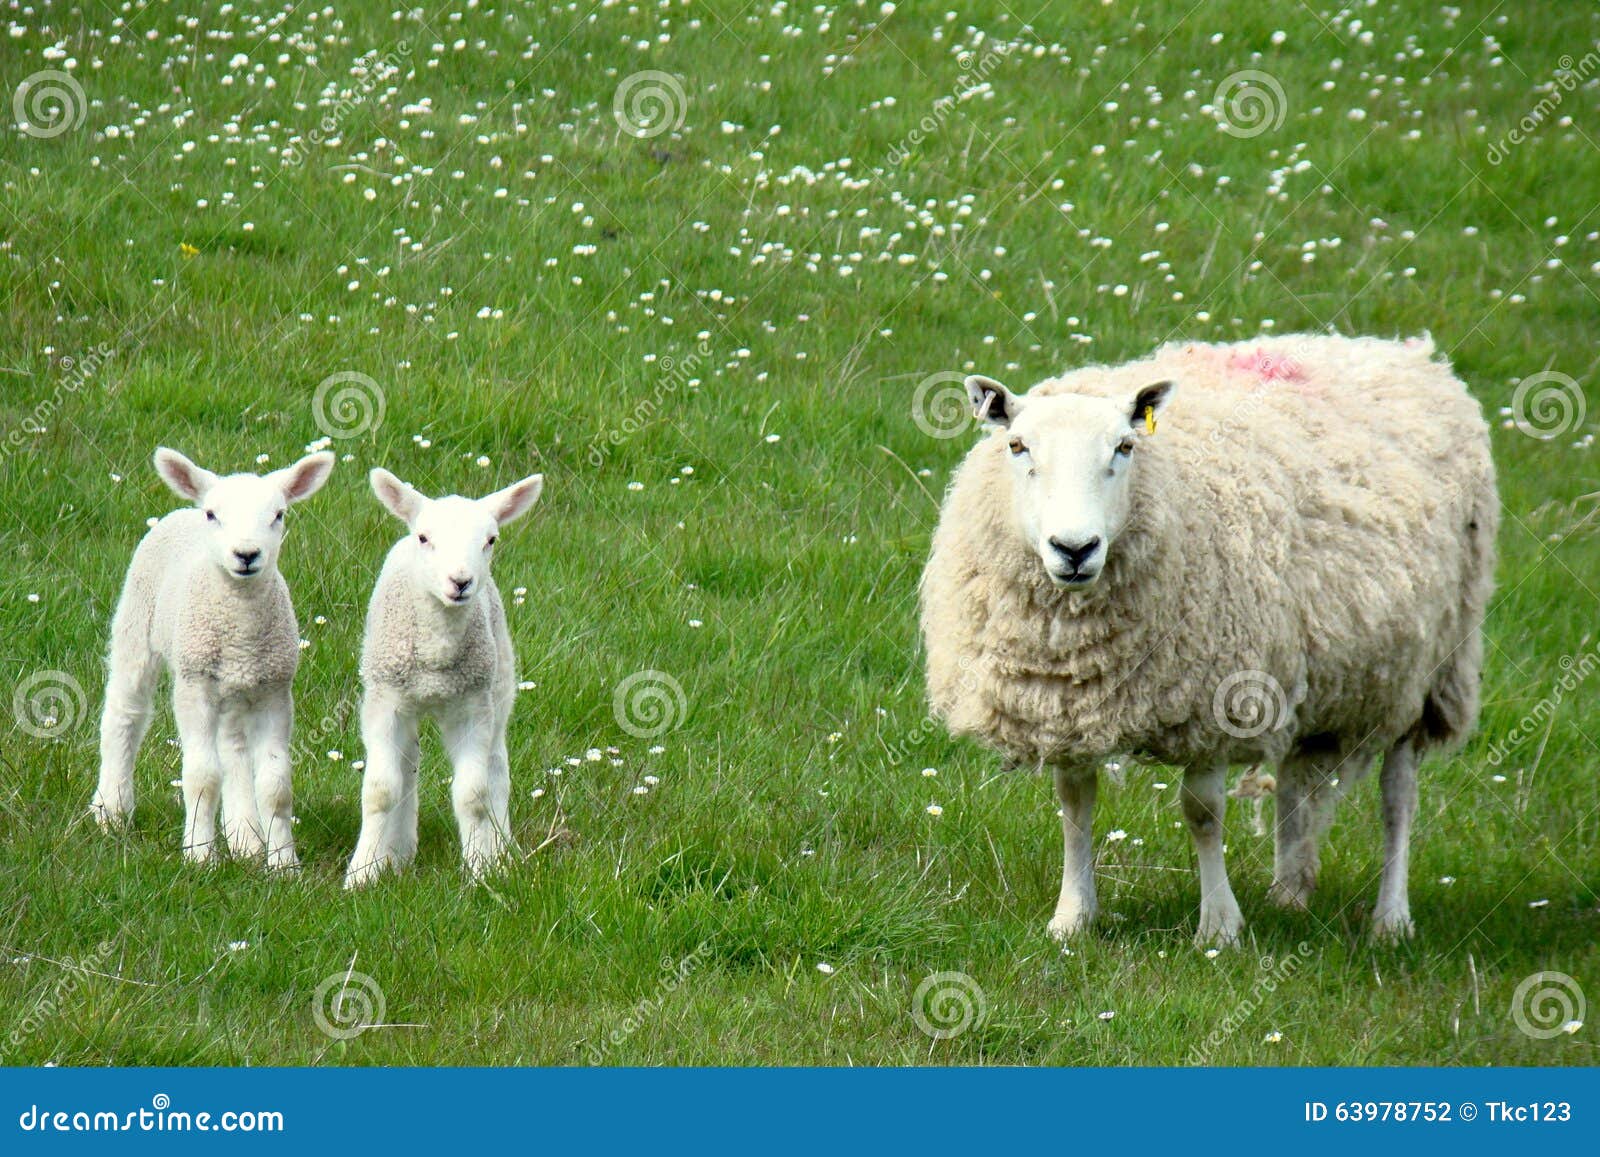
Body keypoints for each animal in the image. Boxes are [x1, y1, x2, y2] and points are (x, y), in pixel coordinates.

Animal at [90, 448, 336, 867]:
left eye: (278, 514)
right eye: (214, 515)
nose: (247, 554)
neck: (241, 628)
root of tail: (183, 509)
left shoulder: (274, 691)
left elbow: (275, 786)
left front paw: (283, 865)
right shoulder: (195, 687)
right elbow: (202, 777)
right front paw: (200, 856)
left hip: (236, 687)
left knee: (233, 747)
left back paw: (245, 840)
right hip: (136, 622)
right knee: (125, 713)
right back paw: (112, 810)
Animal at [344, 467, 544, 887]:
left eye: (490, 540)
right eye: (424, 537)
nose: (461, 582)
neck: (437, 655)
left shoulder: (472, 707)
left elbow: (473, 794)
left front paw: (481, 869)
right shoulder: (383, 703)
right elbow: (381, 790)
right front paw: (361, 873)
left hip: (499, 684)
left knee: (497, 767)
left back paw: (503, 852)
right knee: (407, 765)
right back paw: (398, 854)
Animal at [920, 335, 1497, 945]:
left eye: (1124, 447)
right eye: (1017, 445)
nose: (1074, 549)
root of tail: (1403, 351)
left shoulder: (1215, 700)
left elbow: (1202, 812)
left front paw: (1218, 927)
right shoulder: (1067, 704)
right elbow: (1074, 806)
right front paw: (1072, 918)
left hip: (1430, 671)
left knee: (1398, 796)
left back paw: (1391, 918)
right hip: (1330, 673)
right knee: (1296, 785)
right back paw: (1290, 893)